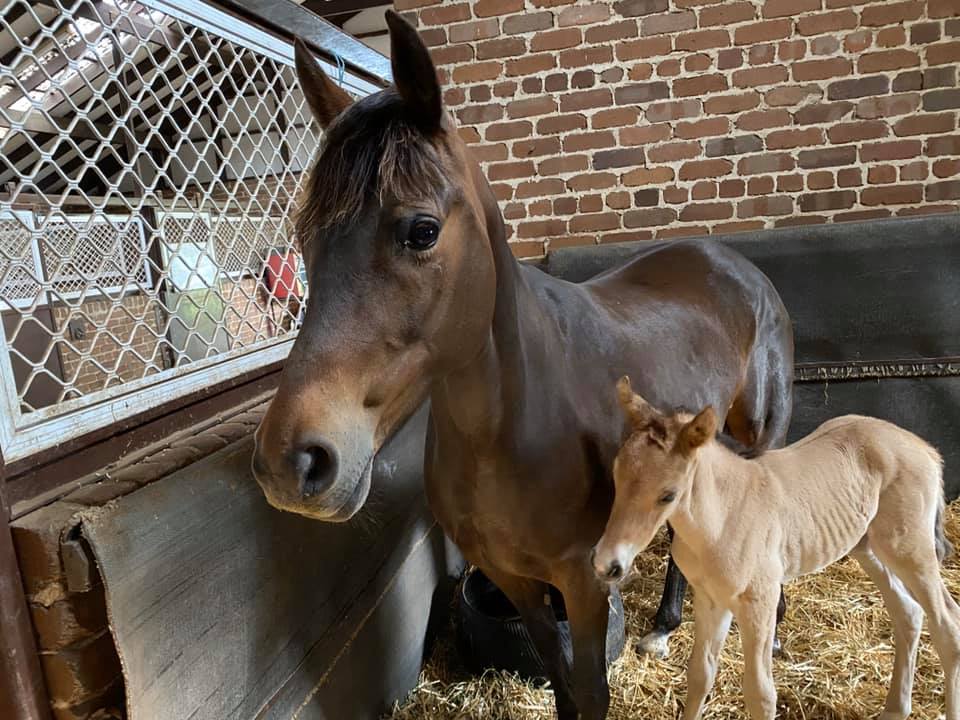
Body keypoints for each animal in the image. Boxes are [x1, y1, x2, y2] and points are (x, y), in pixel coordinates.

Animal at [251, 12, 794, 719]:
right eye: (304, 238)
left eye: (422, 230)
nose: (291, 463)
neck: (510, 426)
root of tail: (736, 266)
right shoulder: (517, 582)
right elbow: (559, 682)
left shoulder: (584, 584)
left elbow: (591, 691)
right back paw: (664, 626)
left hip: (762, 434)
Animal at [593, 377, 959, 720]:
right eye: (616, 475)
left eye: (667, 495)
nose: (606, 564)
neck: (721, 517)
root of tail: (926, 449)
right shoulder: (711, 597)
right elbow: (700, 674)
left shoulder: (761, 599)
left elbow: (761, 693)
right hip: (869, 547)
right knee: (909, 612)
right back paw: (895, 708)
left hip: (910, 549)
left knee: (947, 625)